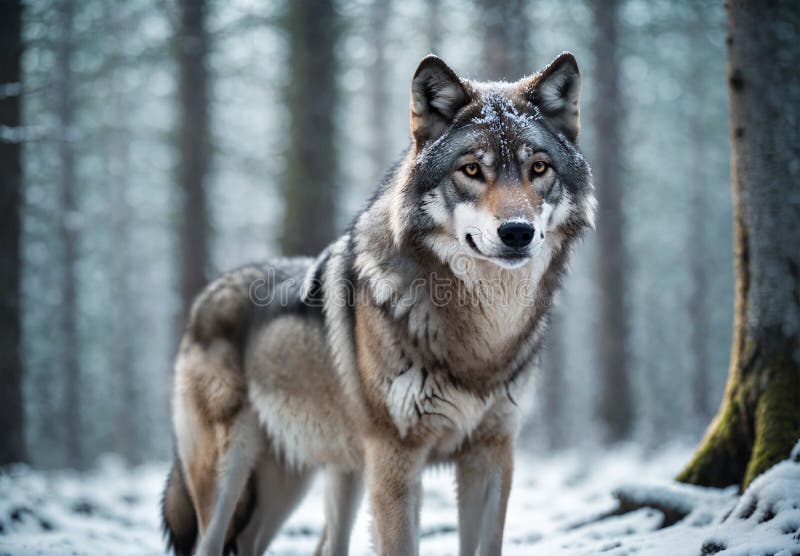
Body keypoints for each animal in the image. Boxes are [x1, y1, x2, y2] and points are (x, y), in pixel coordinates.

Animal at [161, 52, 595, 556]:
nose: (518, 232)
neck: (483, 335)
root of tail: (206, 296)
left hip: (311, 480)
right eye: (471, 170)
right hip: (232, 477)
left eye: (539, 168)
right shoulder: (395, 459)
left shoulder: (491, 455)